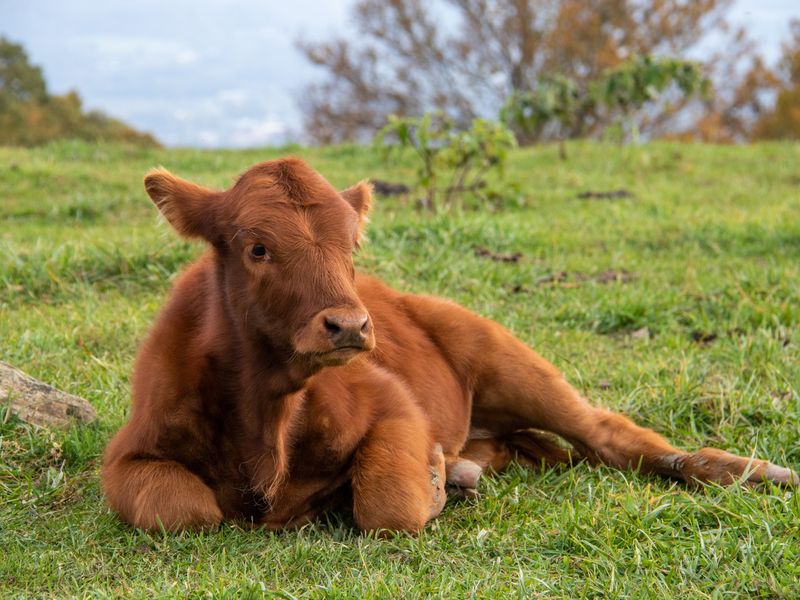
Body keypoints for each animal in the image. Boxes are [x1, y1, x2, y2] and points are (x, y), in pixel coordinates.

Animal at [102, 157, 798, 533]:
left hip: (511, 361)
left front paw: (430, 483)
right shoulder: (128, 455)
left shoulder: (397, 408)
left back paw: (752, 472)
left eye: (353, 245)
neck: (265, 418)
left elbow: (389, 505)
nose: (350, 327)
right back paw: (465, 471)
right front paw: (443, 479)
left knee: (612, 437)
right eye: (257, 247)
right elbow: (183, 508)